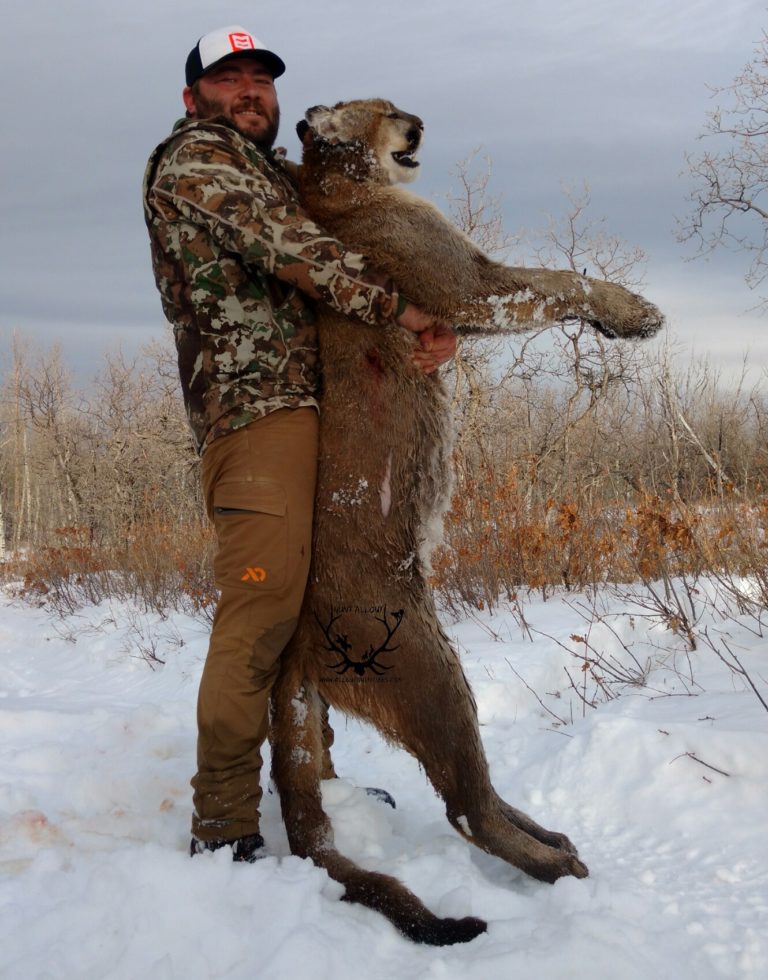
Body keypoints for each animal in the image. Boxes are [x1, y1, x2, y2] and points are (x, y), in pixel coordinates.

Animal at [269, 99, 664, 946]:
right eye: (386, 109)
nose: (418, 118)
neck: (344, 193)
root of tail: (295, 638)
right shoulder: (468, 286)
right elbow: (557, 279)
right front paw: (636, 315)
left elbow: (549, 284)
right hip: (427, 670)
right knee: (464, 806)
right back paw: (559, 865)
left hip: (440, 660)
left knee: (474, 791)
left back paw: (550, 835)